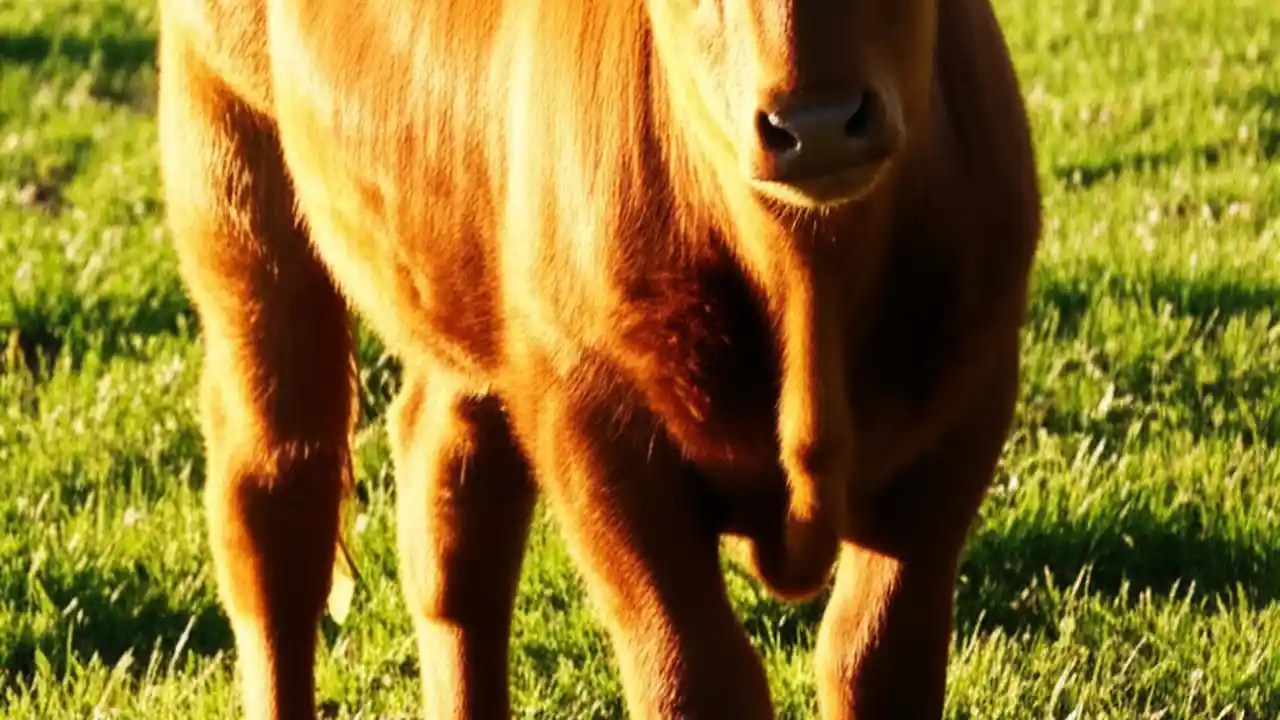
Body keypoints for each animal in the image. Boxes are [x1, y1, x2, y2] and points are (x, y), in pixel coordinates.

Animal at [155, 0, 1041, 717]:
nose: (817, 122)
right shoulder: (596, 423)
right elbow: (694, 677)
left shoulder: (963, 412)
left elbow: (871, 659)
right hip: (232, 177)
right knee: (276, 505)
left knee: (451, 513)